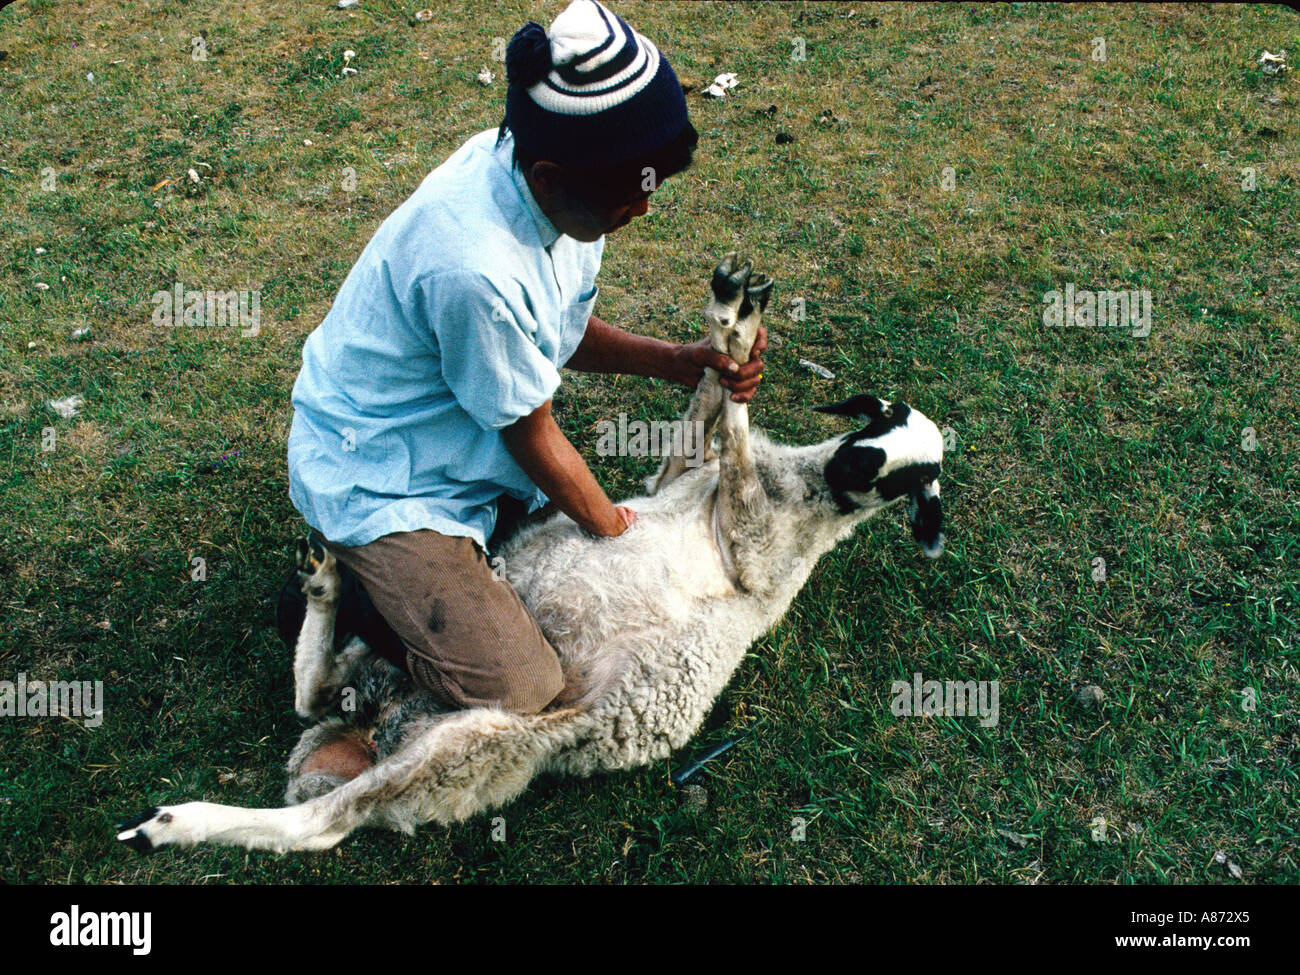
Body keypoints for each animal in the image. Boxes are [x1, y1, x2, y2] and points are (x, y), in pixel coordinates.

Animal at [115, 253, 946, 854]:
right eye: (874, 429)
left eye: (902, 478)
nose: (844, 473)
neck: (799, 488)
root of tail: (371, 732)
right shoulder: (673, 481)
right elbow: (709, 399)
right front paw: (735, 320)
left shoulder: (755, 554)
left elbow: (732, 430)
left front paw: (739, 327)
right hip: (400, 672)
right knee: (312, 697)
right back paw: (322, 586)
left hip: (479, 740)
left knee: (319, 821)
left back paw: (172, 823)